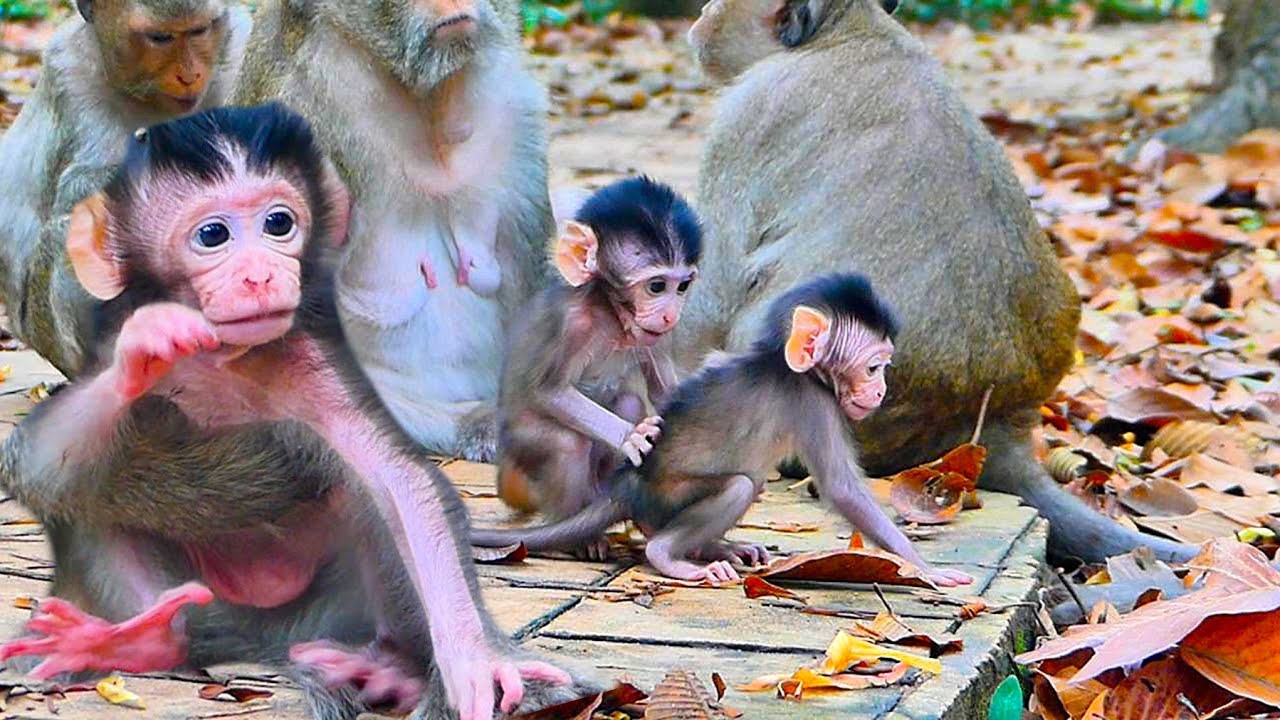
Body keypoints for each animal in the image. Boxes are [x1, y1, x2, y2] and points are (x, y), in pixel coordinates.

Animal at [0, 0, 250, 375]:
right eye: (160, 38)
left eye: (199, 30)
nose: (189, 75)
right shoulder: (69, 79)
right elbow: (72, 193)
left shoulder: (239, 47)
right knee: (72, 231)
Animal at [0, 105, 578, 720]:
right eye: (213, 235)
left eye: (279, 224)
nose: (260, 275)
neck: (228, 361)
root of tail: (257, 644)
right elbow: (37, 461)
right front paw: (149, 341)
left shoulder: (312, 366)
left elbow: (400, 487)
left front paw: (475, 661)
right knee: (94, 494)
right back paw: (141, 641)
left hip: (323, 611)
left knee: (354, 495)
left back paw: (384, 668)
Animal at [473, 274, 973, 588]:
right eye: (873, 367)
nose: (881, 389)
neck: (786, 365)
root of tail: (627, 485)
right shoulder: (814, 403)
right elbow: (842, 488)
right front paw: (924, 568)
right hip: (664, 499)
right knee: (737, 487)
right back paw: (672, 556)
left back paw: (717, 547)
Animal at [493, 177, 700, 560]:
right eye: (656, 286)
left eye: (682, 286)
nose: (669, 314)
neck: (610, 317)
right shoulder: (571, 324)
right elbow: (550, 391)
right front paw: (630, 436)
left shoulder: (658, 338)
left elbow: (665, 393)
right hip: (520, 449)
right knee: (565, 442)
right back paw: (577, 537)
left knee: (629, 403)